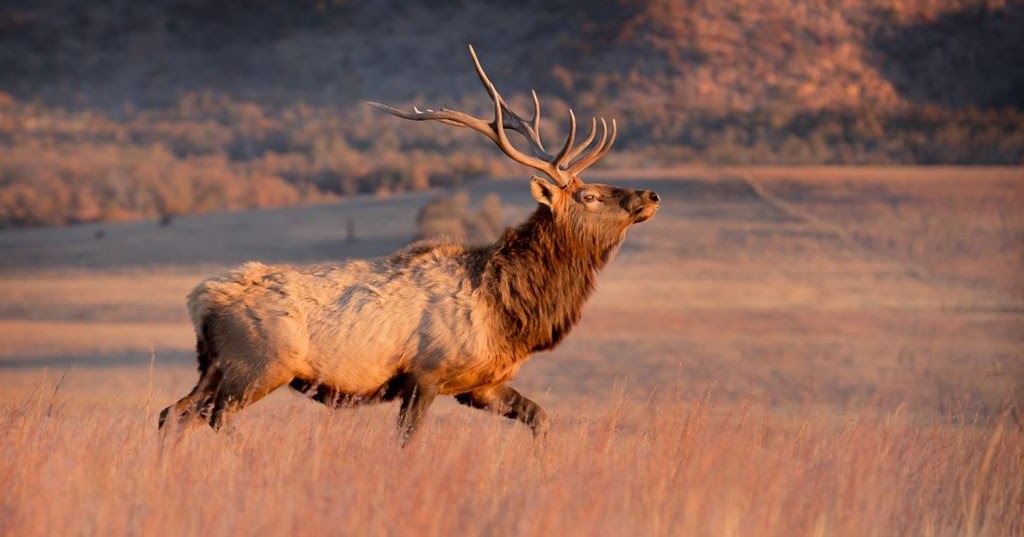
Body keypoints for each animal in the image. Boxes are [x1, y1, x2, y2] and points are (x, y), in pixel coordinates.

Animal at [158, 45, 660, 444]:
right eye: (589, 195)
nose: (650, 195)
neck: (506, 310)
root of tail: (199, 301)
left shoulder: (480, 384)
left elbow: (541, 418)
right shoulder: (426, 373)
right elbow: (408, 441)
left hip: (215, 366)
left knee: (173, 413)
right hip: (258, 365)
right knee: (214, 416)